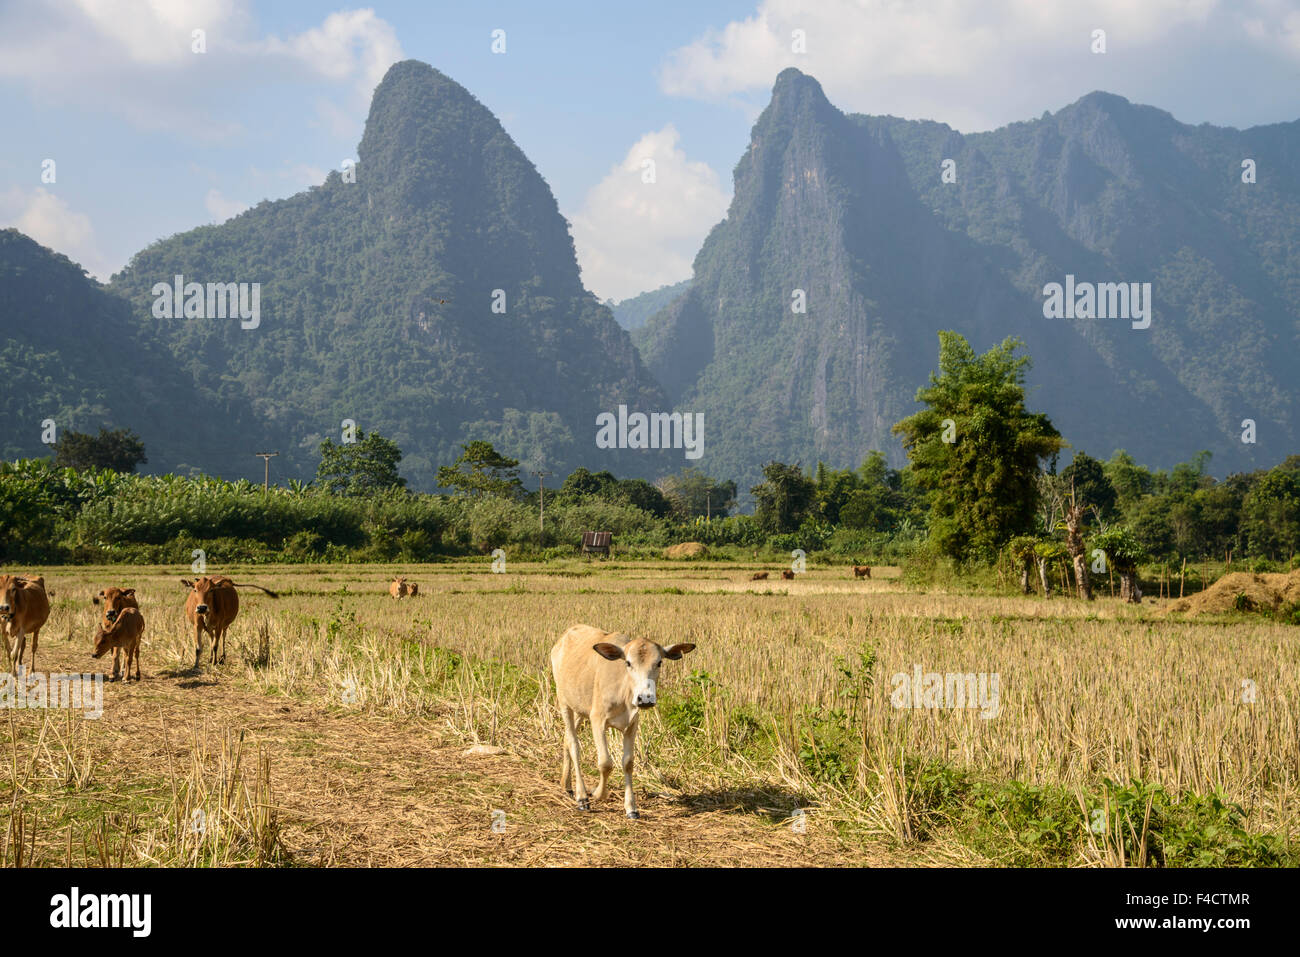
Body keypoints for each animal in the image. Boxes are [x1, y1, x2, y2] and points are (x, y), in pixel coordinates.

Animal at [550, 624, 695, 819]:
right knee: (574, 744)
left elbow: (627, 763)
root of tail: (564, 637)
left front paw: (631, 808)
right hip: (564, 702)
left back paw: (566, 784)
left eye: (659, 662)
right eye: (628, 662)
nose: (645, 698)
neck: (624, 691)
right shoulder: (597, 720)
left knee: (566, 739)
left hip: (580, 709)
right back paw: (581, 797)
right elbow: (605, 763)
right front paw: (597, 793)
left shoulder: (632, 725)